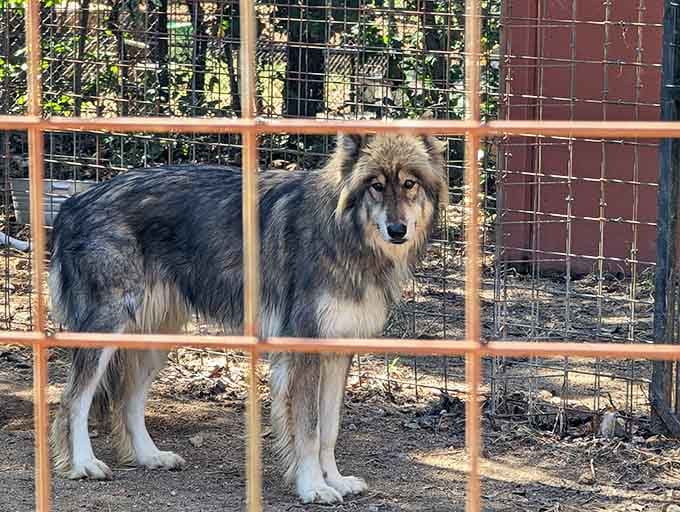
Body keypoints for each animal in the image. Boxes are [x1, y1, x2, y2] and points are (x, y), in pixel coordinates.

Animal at [48, 132, 448, 504]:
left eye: (409, 184)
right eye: (376, 186)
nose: (397, 230)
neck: (345, 235)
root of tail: (75, 202)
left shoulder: (337, 353)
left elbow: (329, 428)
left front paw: (334, 480)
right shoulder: (304, 353)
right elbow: (309, 430)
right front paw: (313, 487)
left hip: (157, 337)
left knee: (128, 398)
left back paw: (150, 456)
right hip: (107, 332)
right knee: (73, 400)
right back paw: (83, 464)